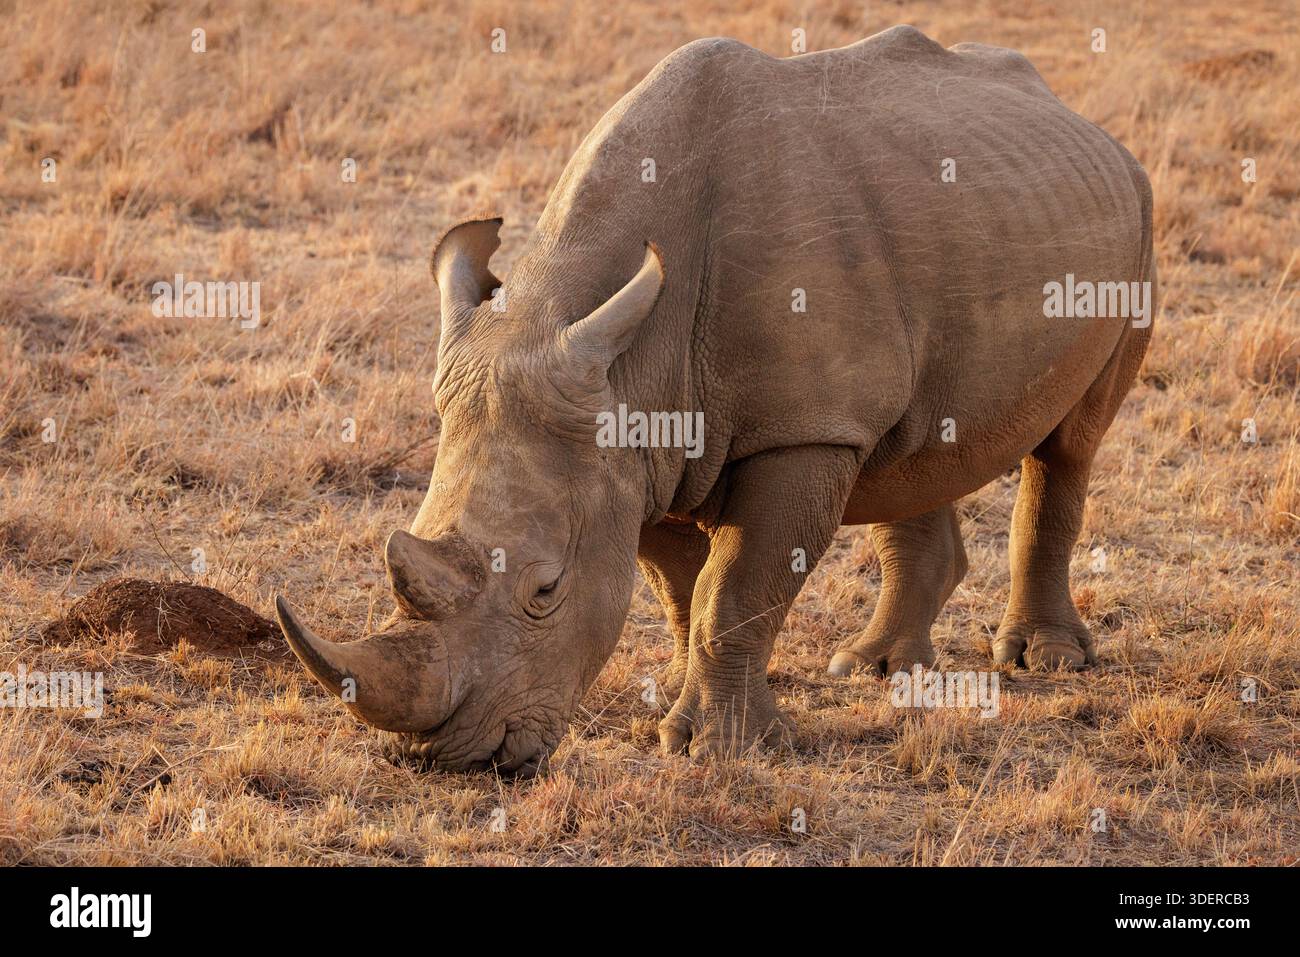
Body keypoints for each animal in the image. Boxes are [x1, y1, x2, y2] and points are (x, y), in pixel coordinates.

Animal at [276, 25, 1154, 773]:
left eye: (545, 592)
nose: (446, 758)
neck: (627, 360)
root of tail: (1087, 121)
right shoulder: (639, 449)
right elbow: (680, 591)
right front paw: (675, 703)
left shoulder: (797, 433)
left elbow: (735, 586)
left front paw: (723, 748)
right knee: (907, 449)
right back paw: (871, 667)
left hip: (1136, 220)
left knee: (1070, 447)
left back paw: (1043, 659)